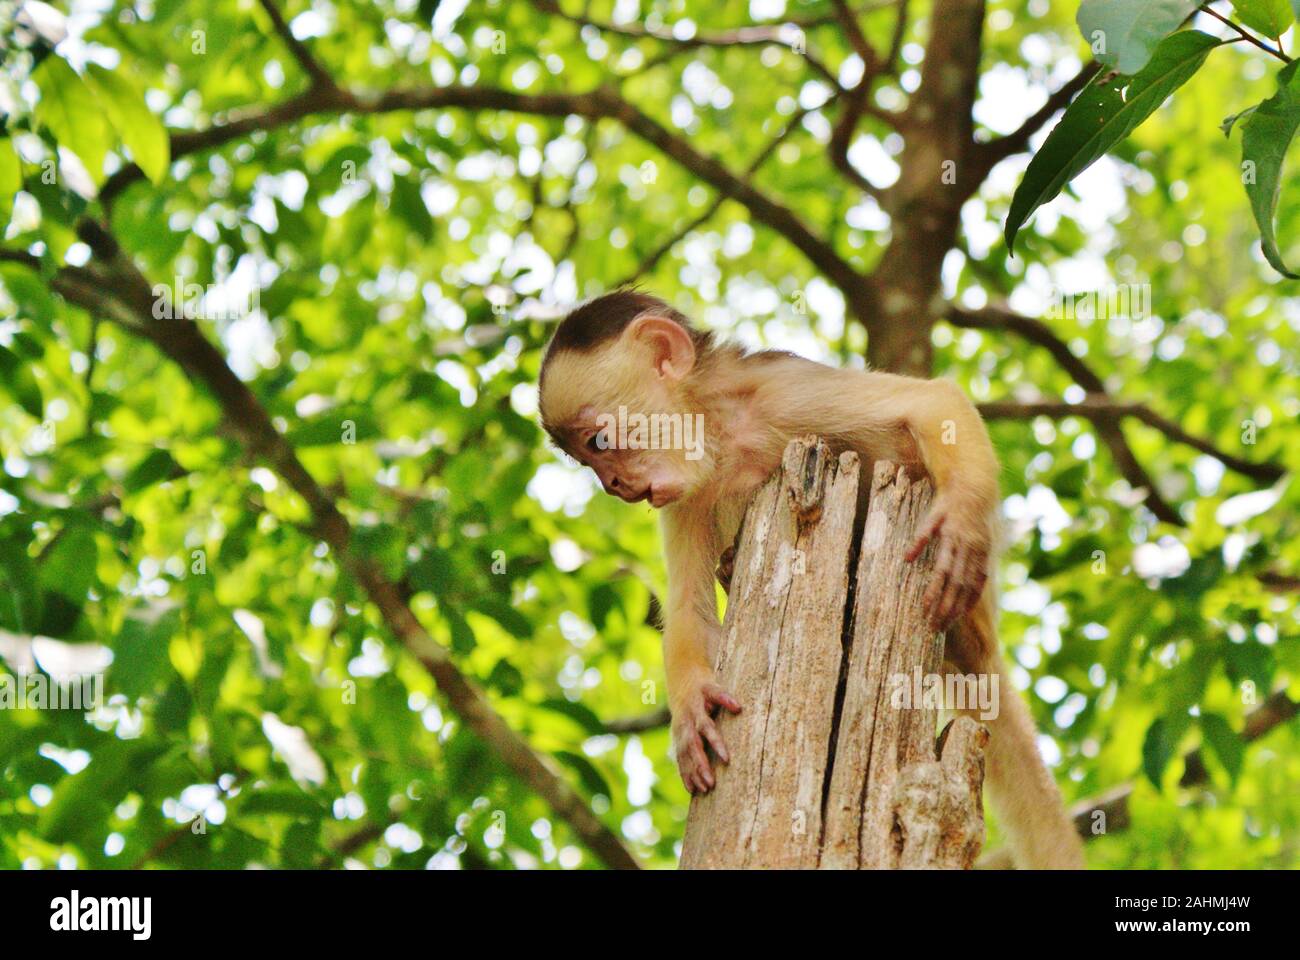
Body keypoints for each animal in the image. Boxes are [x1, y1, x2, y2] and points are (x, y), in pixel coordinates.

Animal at [538, 289, 1085, 870]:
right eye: (589, 462)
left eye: (600, 442)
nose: (615, 486)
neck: (723, 430)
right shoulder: (687, 493)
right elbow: (688, 609)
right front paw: (690, 709)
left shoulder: (782, 391)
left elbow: (937, 404)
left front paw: (960, 521)